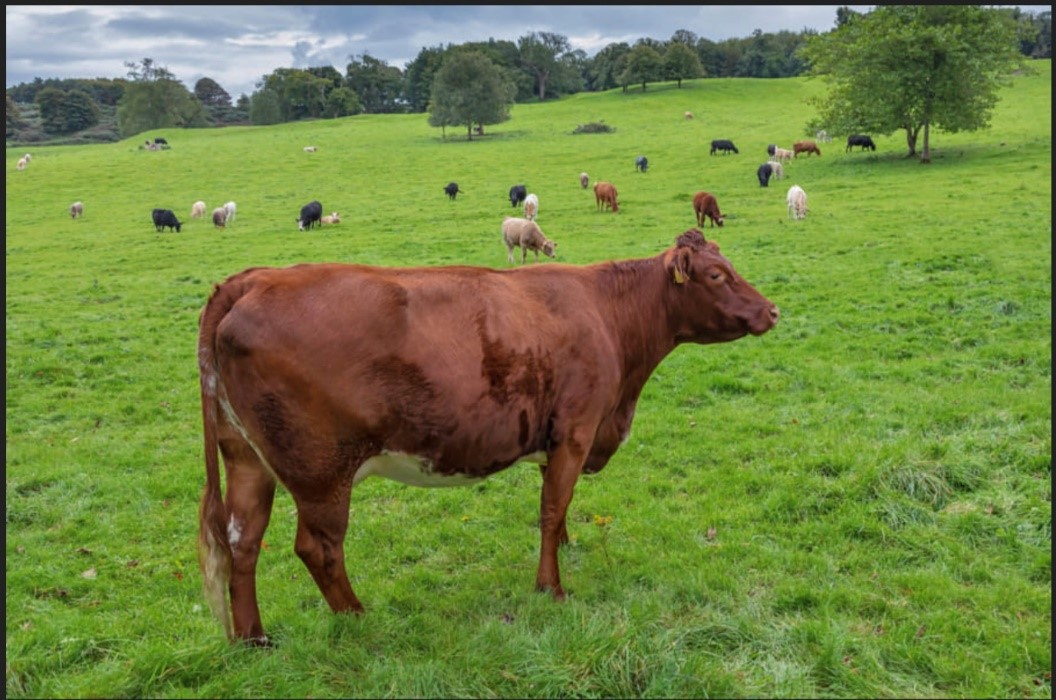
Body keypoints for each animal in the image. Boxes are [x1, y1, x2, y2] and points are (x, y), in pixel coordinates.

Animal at [196, 227, 779, 644]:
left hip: (246, 459)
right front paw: (551, 587)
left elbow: (559, 505)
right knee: (317, 548)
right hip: (321, 470)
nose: (771, 310)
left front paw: (565, 550)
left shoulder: (557, 438)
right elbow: (551, 509)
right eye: (716, 275)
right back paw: (360, 619)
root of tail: (254, 279)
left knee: (242, 541)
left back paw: (254, 638)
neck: (608, 314)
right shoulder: (576, 429)